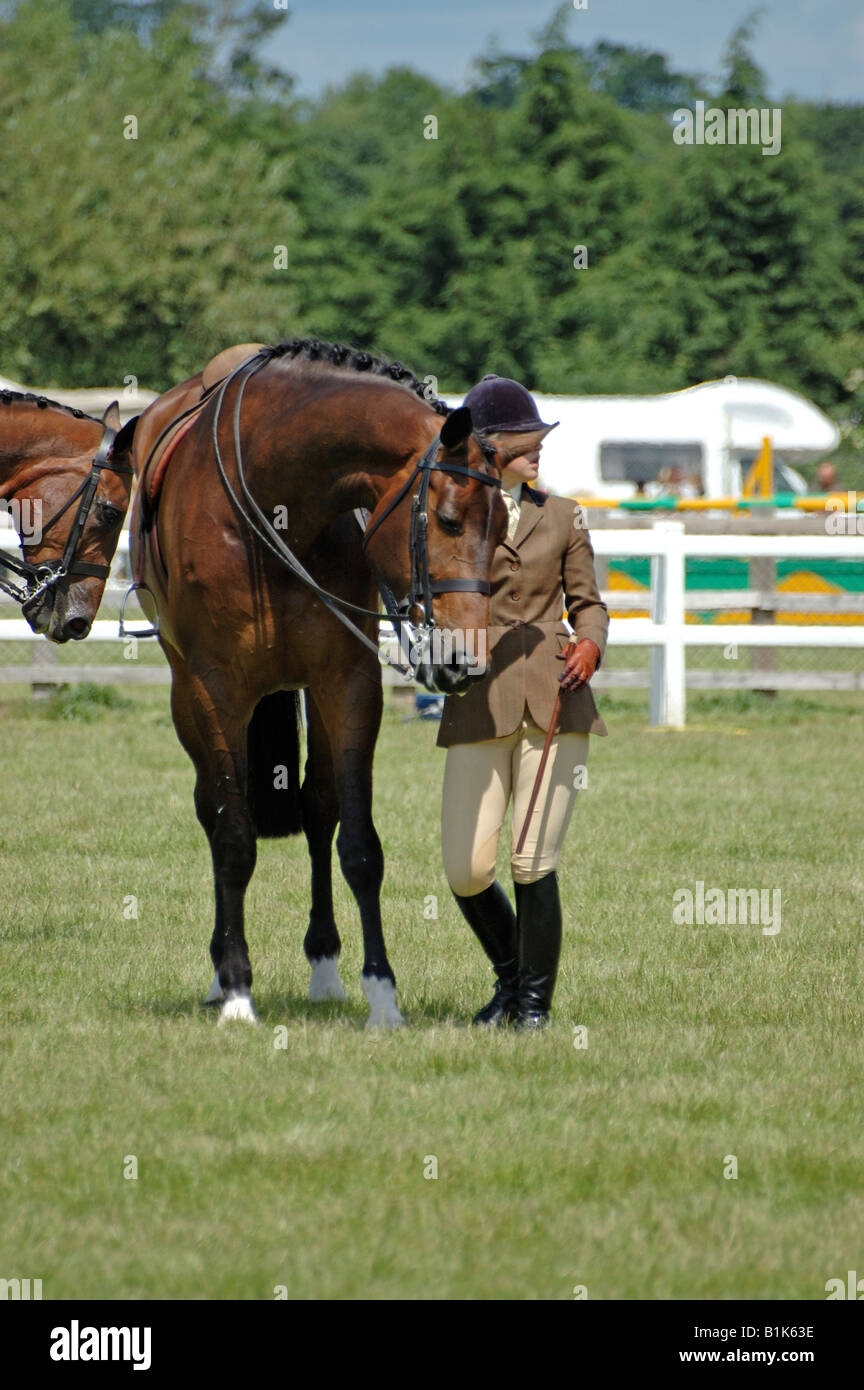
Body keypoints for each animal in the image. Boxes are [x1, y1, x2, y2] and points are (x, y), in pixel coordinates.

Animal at [129, 337, 534, 1028]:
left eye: (500, 527)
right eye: (448, 519)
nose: (464, 659)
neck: (270, 506)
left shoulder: (347, 685)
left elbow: (359, 847)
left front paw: (383, 996)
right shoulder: (216, 691)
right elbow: (234, 838)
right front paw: (239, 994)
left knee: (318, 810)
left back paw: (324, 968)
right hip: (190, 698)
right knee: (213, 809)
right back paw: (219, 974)